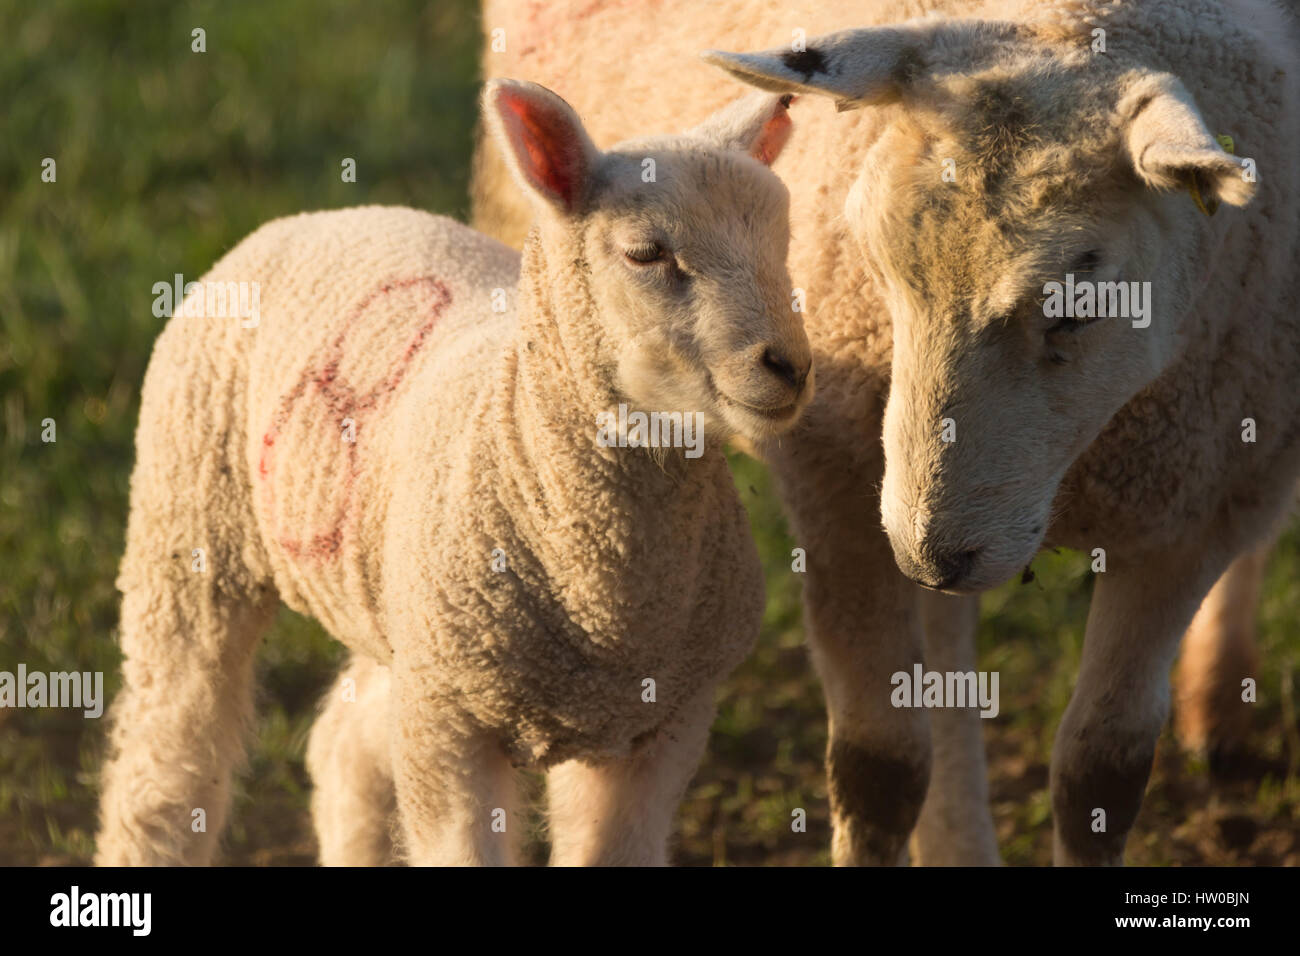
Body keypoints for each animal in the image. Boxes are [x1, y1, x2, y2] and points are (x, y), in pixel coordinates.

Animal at [95, 79, 812, 866]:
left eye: (783, 241)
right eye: (646, 253)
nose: (790, 367)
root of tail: (313, 217)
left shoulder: (661, 717)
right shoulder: (451, 727)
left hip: (406, 611)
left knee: (341, 745)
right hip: (190, 535)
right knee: (167, 763)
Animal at [474, 0, 1299, 865]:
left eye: (1077, 305)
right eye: (878, 262)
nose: (932, 552)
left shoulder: (1194, 505)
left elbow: (1101, 776)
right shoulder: (841, 473)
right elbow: (882, 766)